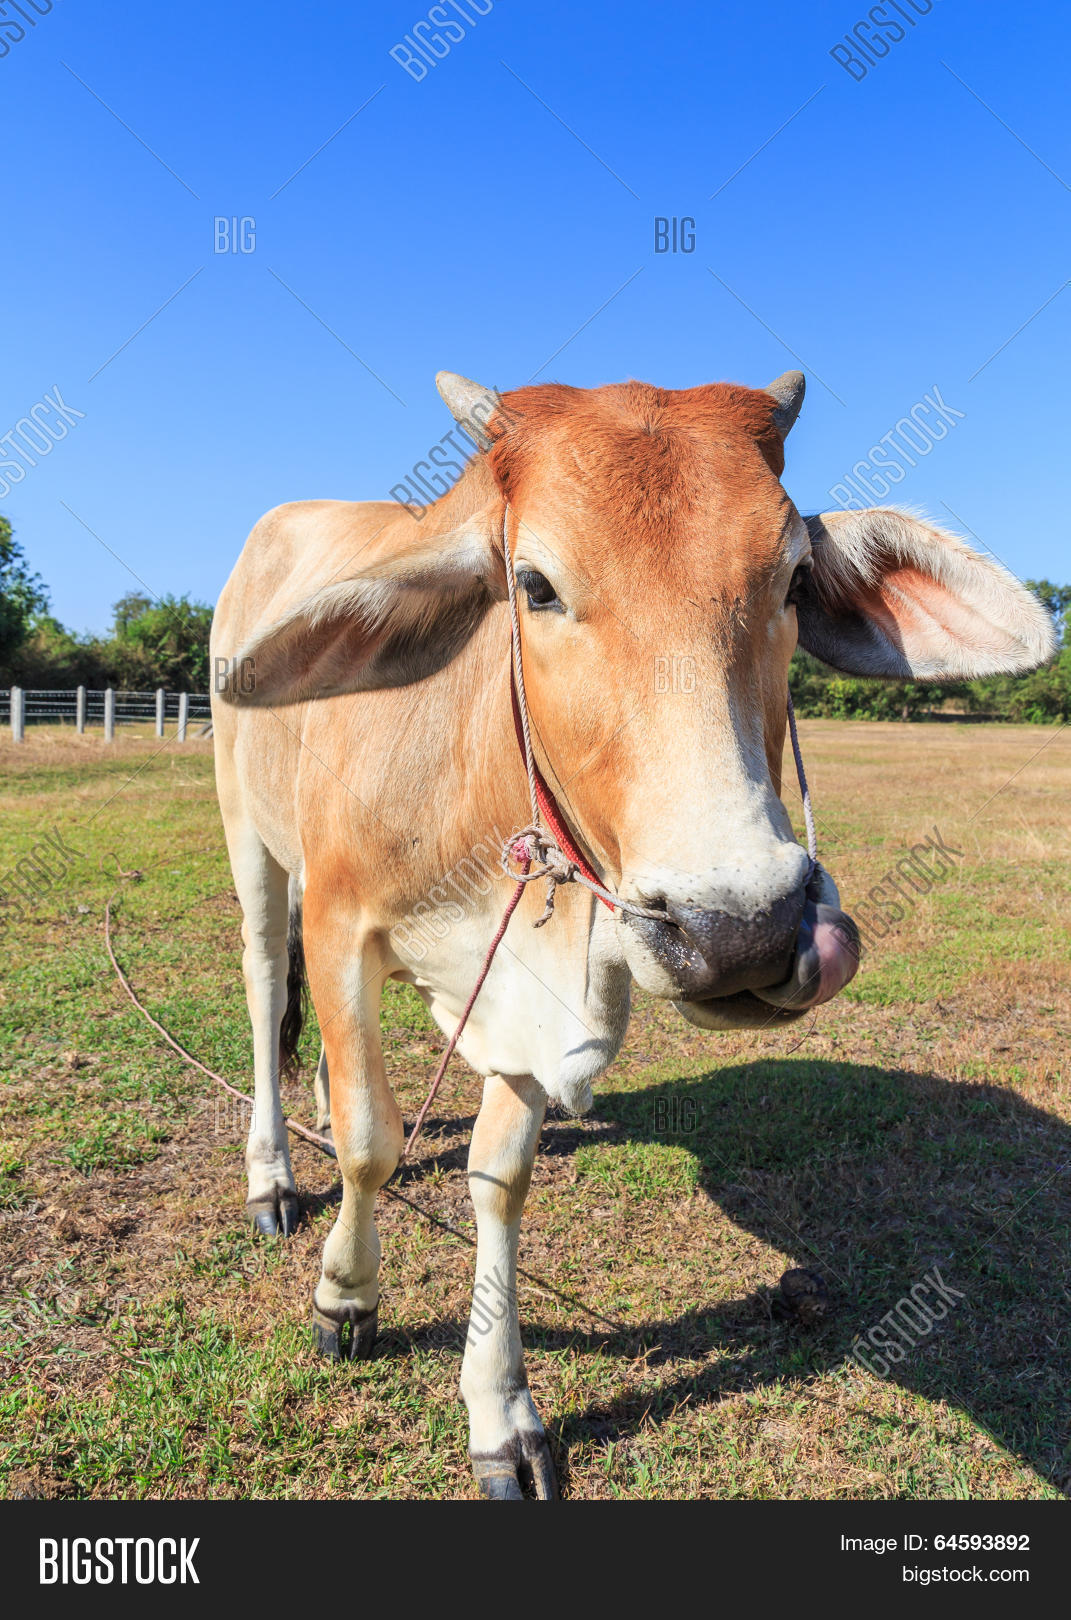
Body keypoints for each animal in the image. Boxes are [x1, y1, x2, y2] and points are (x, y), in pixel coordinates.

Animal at [210, 370, 1054, 1498]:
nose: (741, 930)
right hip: (251, 840)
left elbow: (499, 1176)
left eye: (793, 580)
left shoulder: (538, 1004)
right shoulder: (342, 922)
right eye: (532, 585)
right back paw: (270, 1173)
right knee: (267, 984)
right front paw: (345, 1296)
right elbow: (367, 1144)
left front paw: (500, 1409)